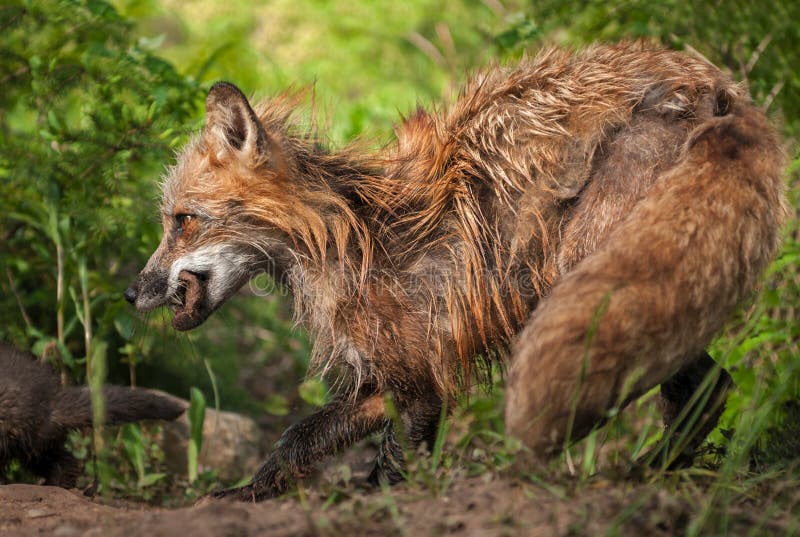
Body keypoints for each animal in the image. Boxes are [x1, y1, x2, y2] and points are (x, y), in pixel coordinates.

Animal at [125, 42, 786, 502]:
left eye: (182, 221)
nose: (131, 292)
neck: (346, 235)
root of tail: (706, 82)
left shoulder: (418, 382)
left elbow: (390, 463)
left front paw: (375, 504)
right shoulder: (390, 375)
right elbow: (295, 440)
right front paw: (247, 494)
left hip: (592, 278)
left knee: (709, 386)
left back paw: (638, 474)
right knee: (710, 385)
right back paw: (656, 470)